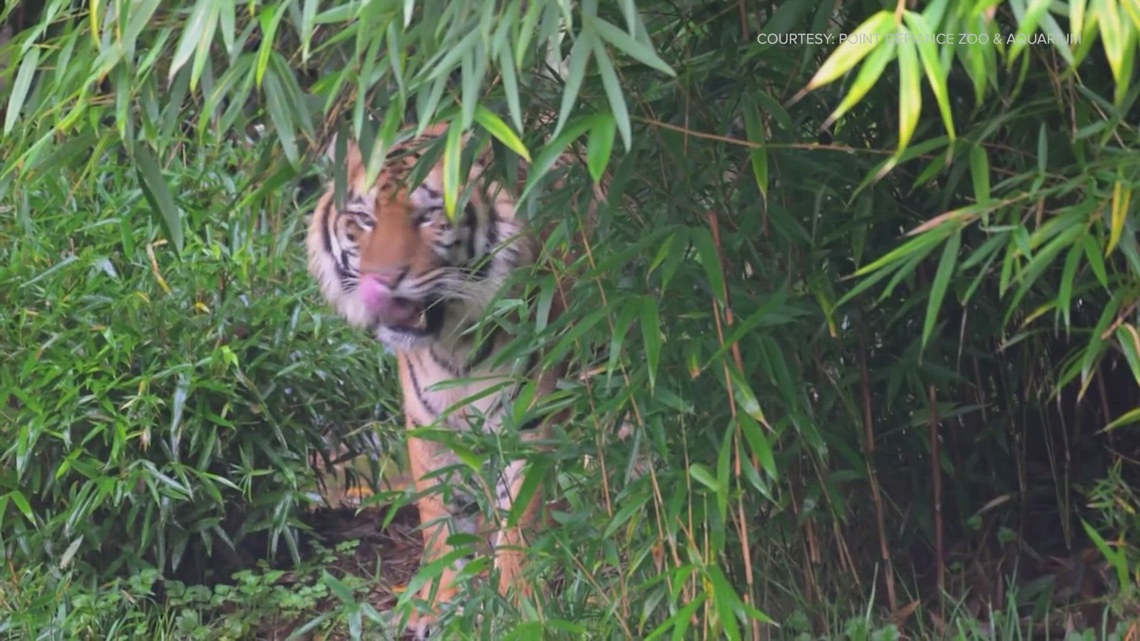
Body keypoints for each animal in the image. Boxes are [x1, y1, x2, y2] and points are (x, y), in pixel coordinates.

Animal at [306, 123, 596, 638]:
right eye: (363, 219)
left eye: (429, 216)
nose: (384, 281)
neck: (453, 344)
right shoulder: (431, 429)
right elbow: (442, 526)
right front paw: (439, 608)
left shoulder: (529, 427)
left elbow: (520, 523)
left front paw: (520, 609)